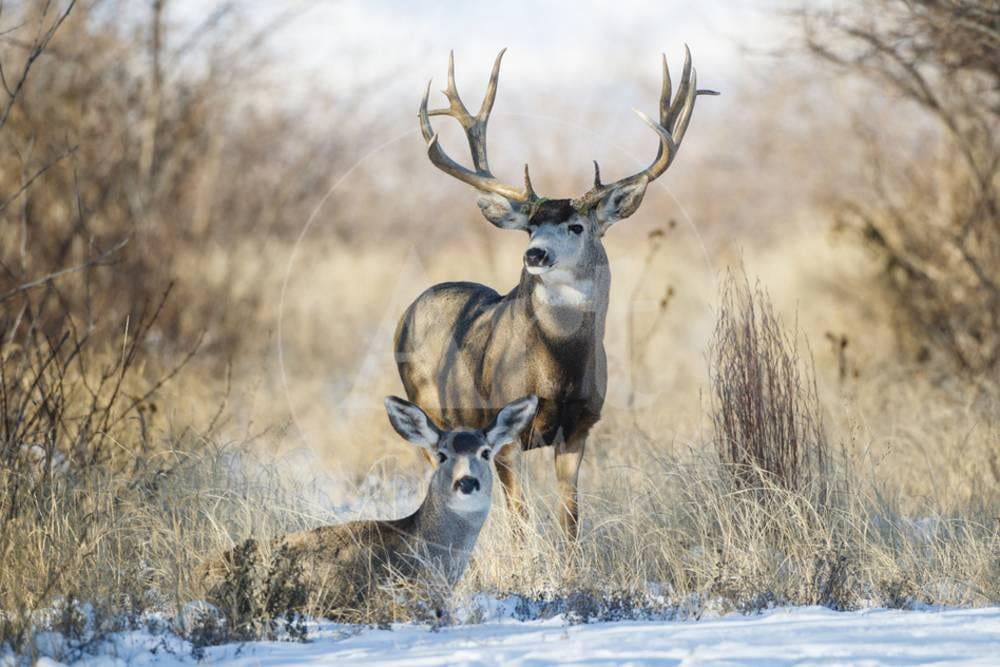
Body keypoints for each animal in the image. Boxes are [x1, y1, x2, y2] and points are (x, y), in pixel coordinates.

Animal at [395, 47, 716, 540]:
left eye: (576, 225)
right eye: (530, 226)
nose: (535, 254)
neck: (557, 369)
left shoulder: (580, 427)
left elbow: (570, 518)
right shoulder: (505, 433)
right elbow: (521, 520)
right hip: (429, 409)